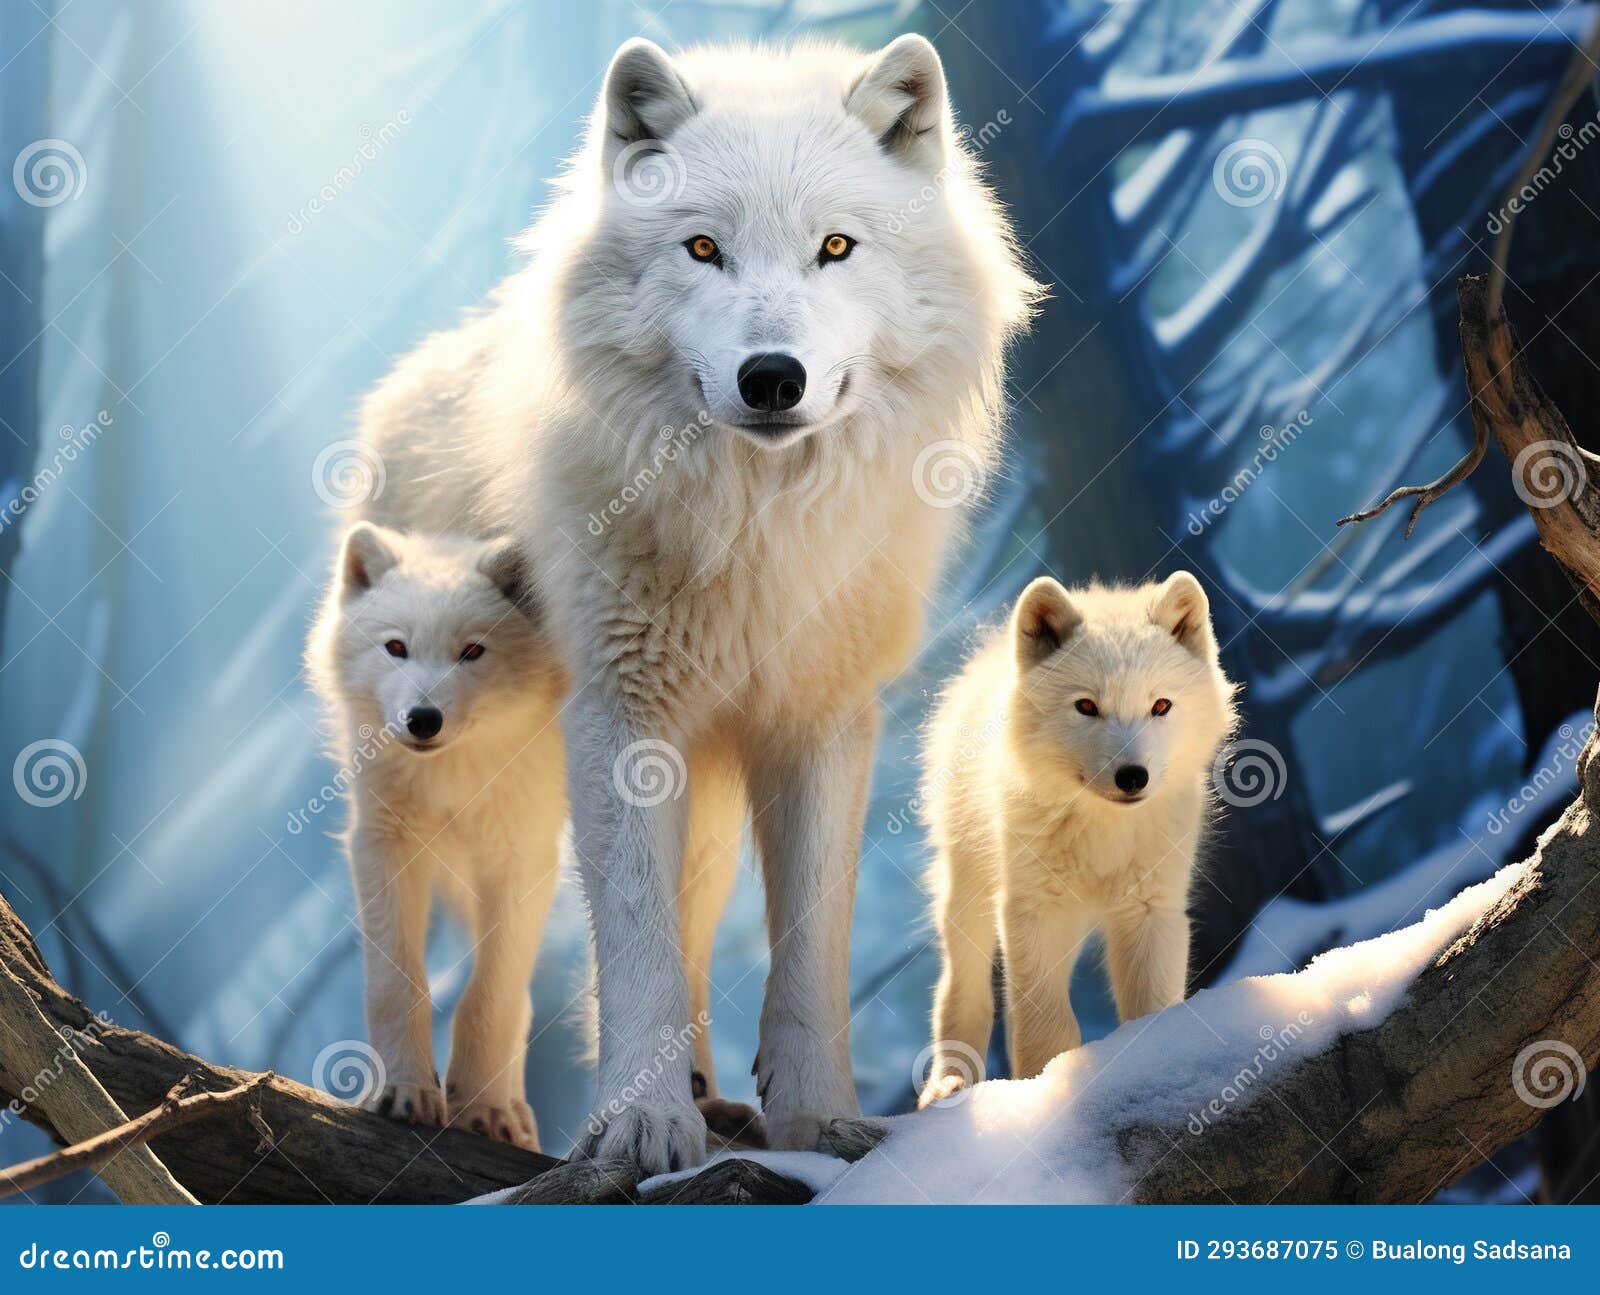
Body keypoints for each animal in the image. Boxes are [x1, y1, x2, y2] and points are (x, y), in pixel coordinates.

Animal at [305, 522, 567, 1150]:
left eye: (472, 651)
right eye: (396, 648)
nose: (423, 720)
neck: (453, 781)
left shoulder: (523, 863)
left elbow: (490, 998)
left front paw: (483, 1109)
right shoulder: (382, 845)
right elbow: (398, 985)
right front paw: (405, 1091)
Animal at [356, 34, 1038, 1171]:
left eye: (835, 247)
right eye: (703, 248)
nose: (772, 377)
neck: (753, 524)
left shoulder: (822, 721)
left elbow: (810, 946)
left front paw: (818, 1118)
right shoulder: (619, 717)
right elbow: (636, 944)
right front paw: (638, 1127)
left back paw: (715, 1096)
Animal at [919, 573, 1238, 1105]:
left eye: (1160, 705)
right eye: (1086, 706)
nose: (1133, 776)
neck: (1101, 832)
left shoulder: (1150, 910)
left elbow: (1150, 1009)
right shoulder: (1034, 914)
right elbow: (1045, 1029)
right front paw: (1042, 1089)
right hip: (970, 903)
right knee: (960, 994)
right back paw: (948, 1085)